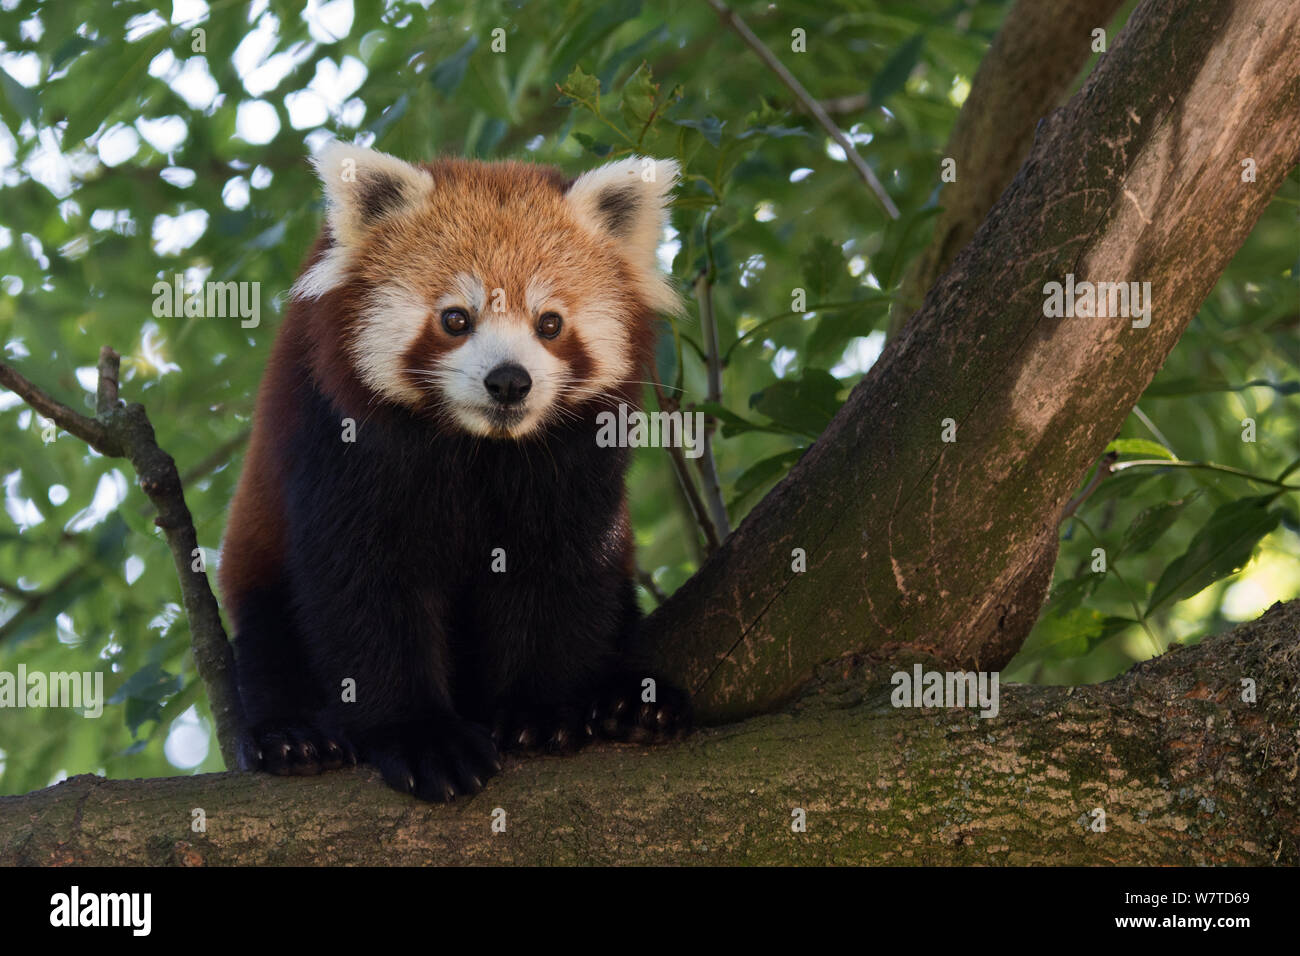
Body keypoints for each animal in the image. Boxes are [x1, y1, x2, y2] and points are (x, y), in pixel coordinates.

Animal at [218, 142, 691, 802]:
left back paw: (634, 705)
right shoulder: (334, 438)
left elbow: (561, 572)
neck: (479, 447)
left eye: (549, 323)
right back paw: (291, 737)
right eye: (455, 319)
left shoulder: (575, 467)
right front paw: (423, 736)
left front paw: (540, 710)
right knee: (269, 638)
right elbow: (363, 589)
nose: (509, 381)